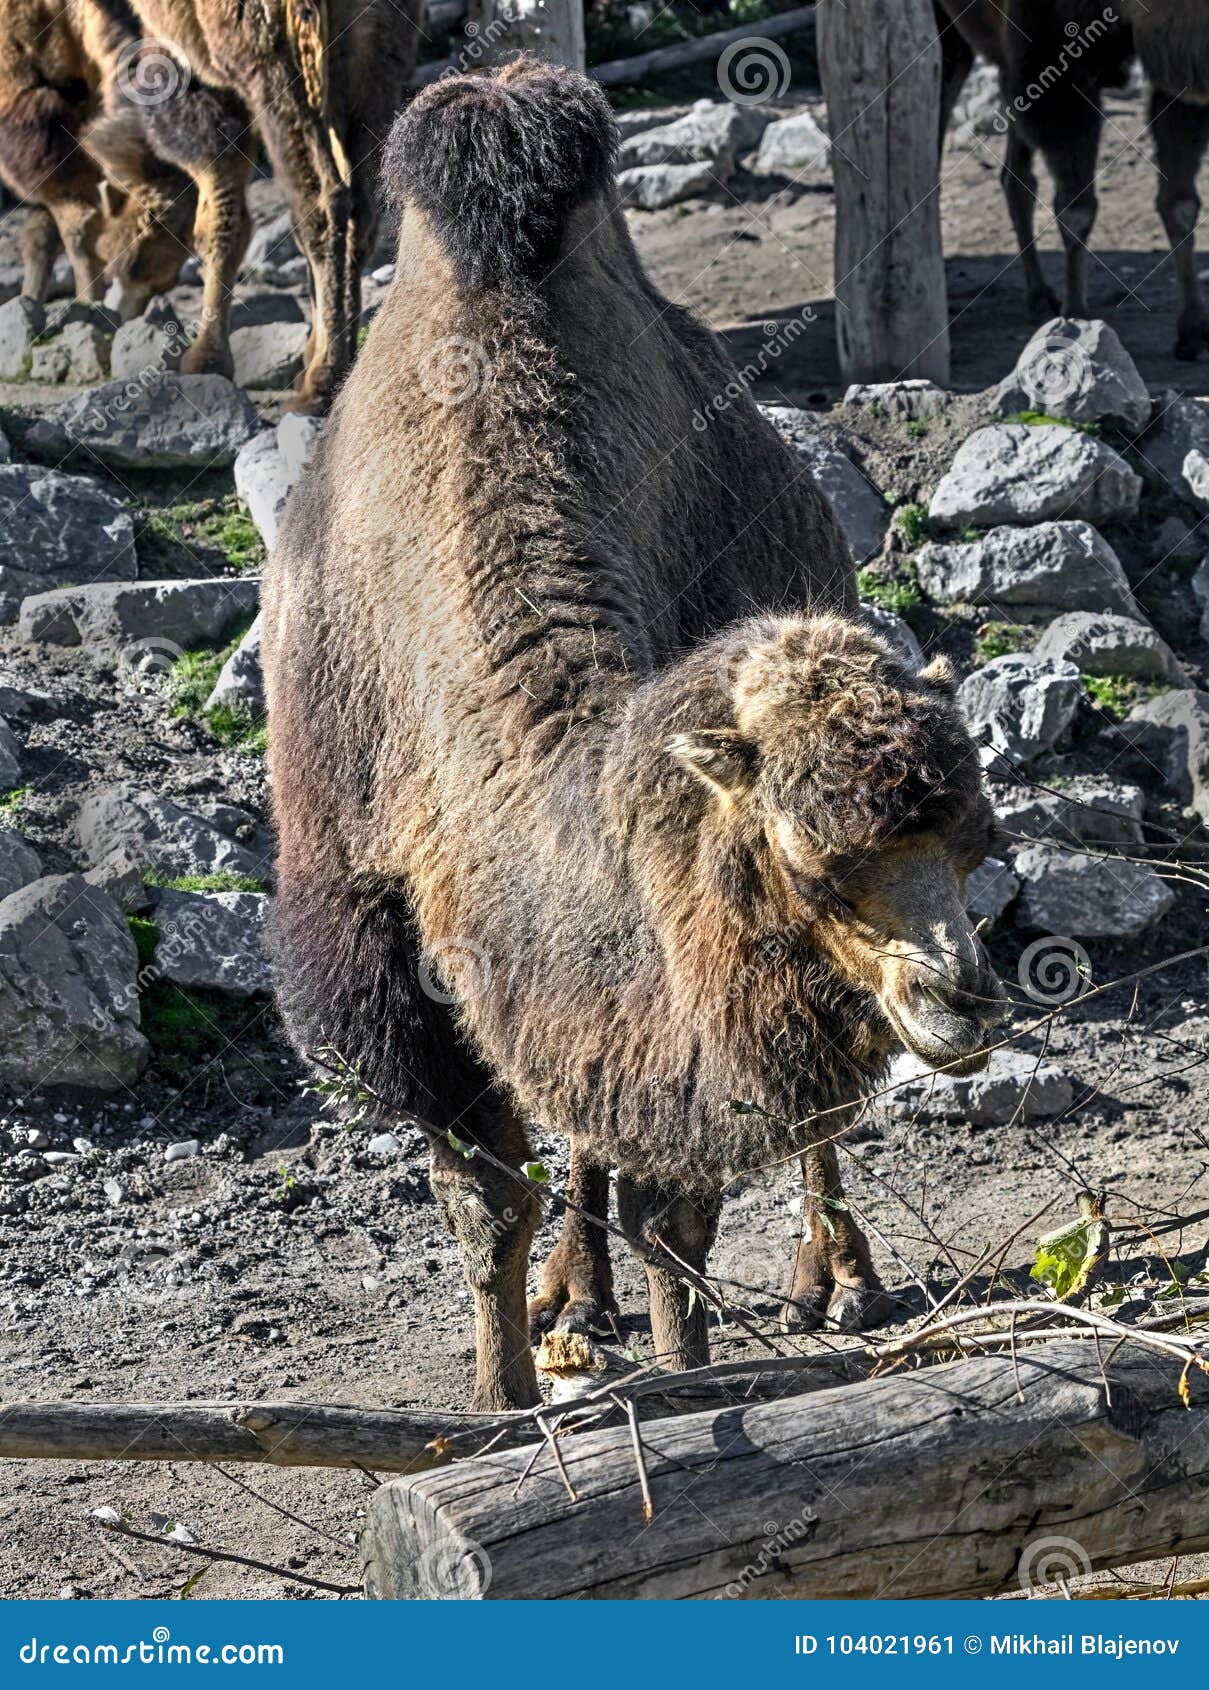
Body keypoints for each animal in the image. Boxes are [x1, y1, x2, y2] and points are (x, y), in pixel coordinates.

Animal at [119, 0, 418, 410]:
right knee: (361, 212)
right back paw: (340, 363)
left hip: (278, 64)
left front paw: (205, 358)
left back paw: (321, 380)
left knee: (323, 203)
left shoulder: (196, 73)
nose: (128, 283)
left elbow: (218, 214)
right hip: (375, 66)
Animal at [263, 61, 1005, 1411]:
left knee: (805, 1130)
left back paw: (837, 1277)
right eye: (814, 865)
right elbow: (487, 1202)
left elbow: (680, 1218)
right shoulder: (371, 937)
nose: (966, 1000)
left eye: (977, 845)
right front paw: (502, 1402)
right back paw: (575, 1295)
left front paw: (681, 1378)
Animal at [934, 0, 1209, 359]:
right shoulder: (1053, 58)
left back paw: (1040, 297)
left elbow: (1180, 203)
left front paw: (1193, 332)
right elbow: (1076, 207)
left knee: (1015, 176)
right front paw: (1076, 322)